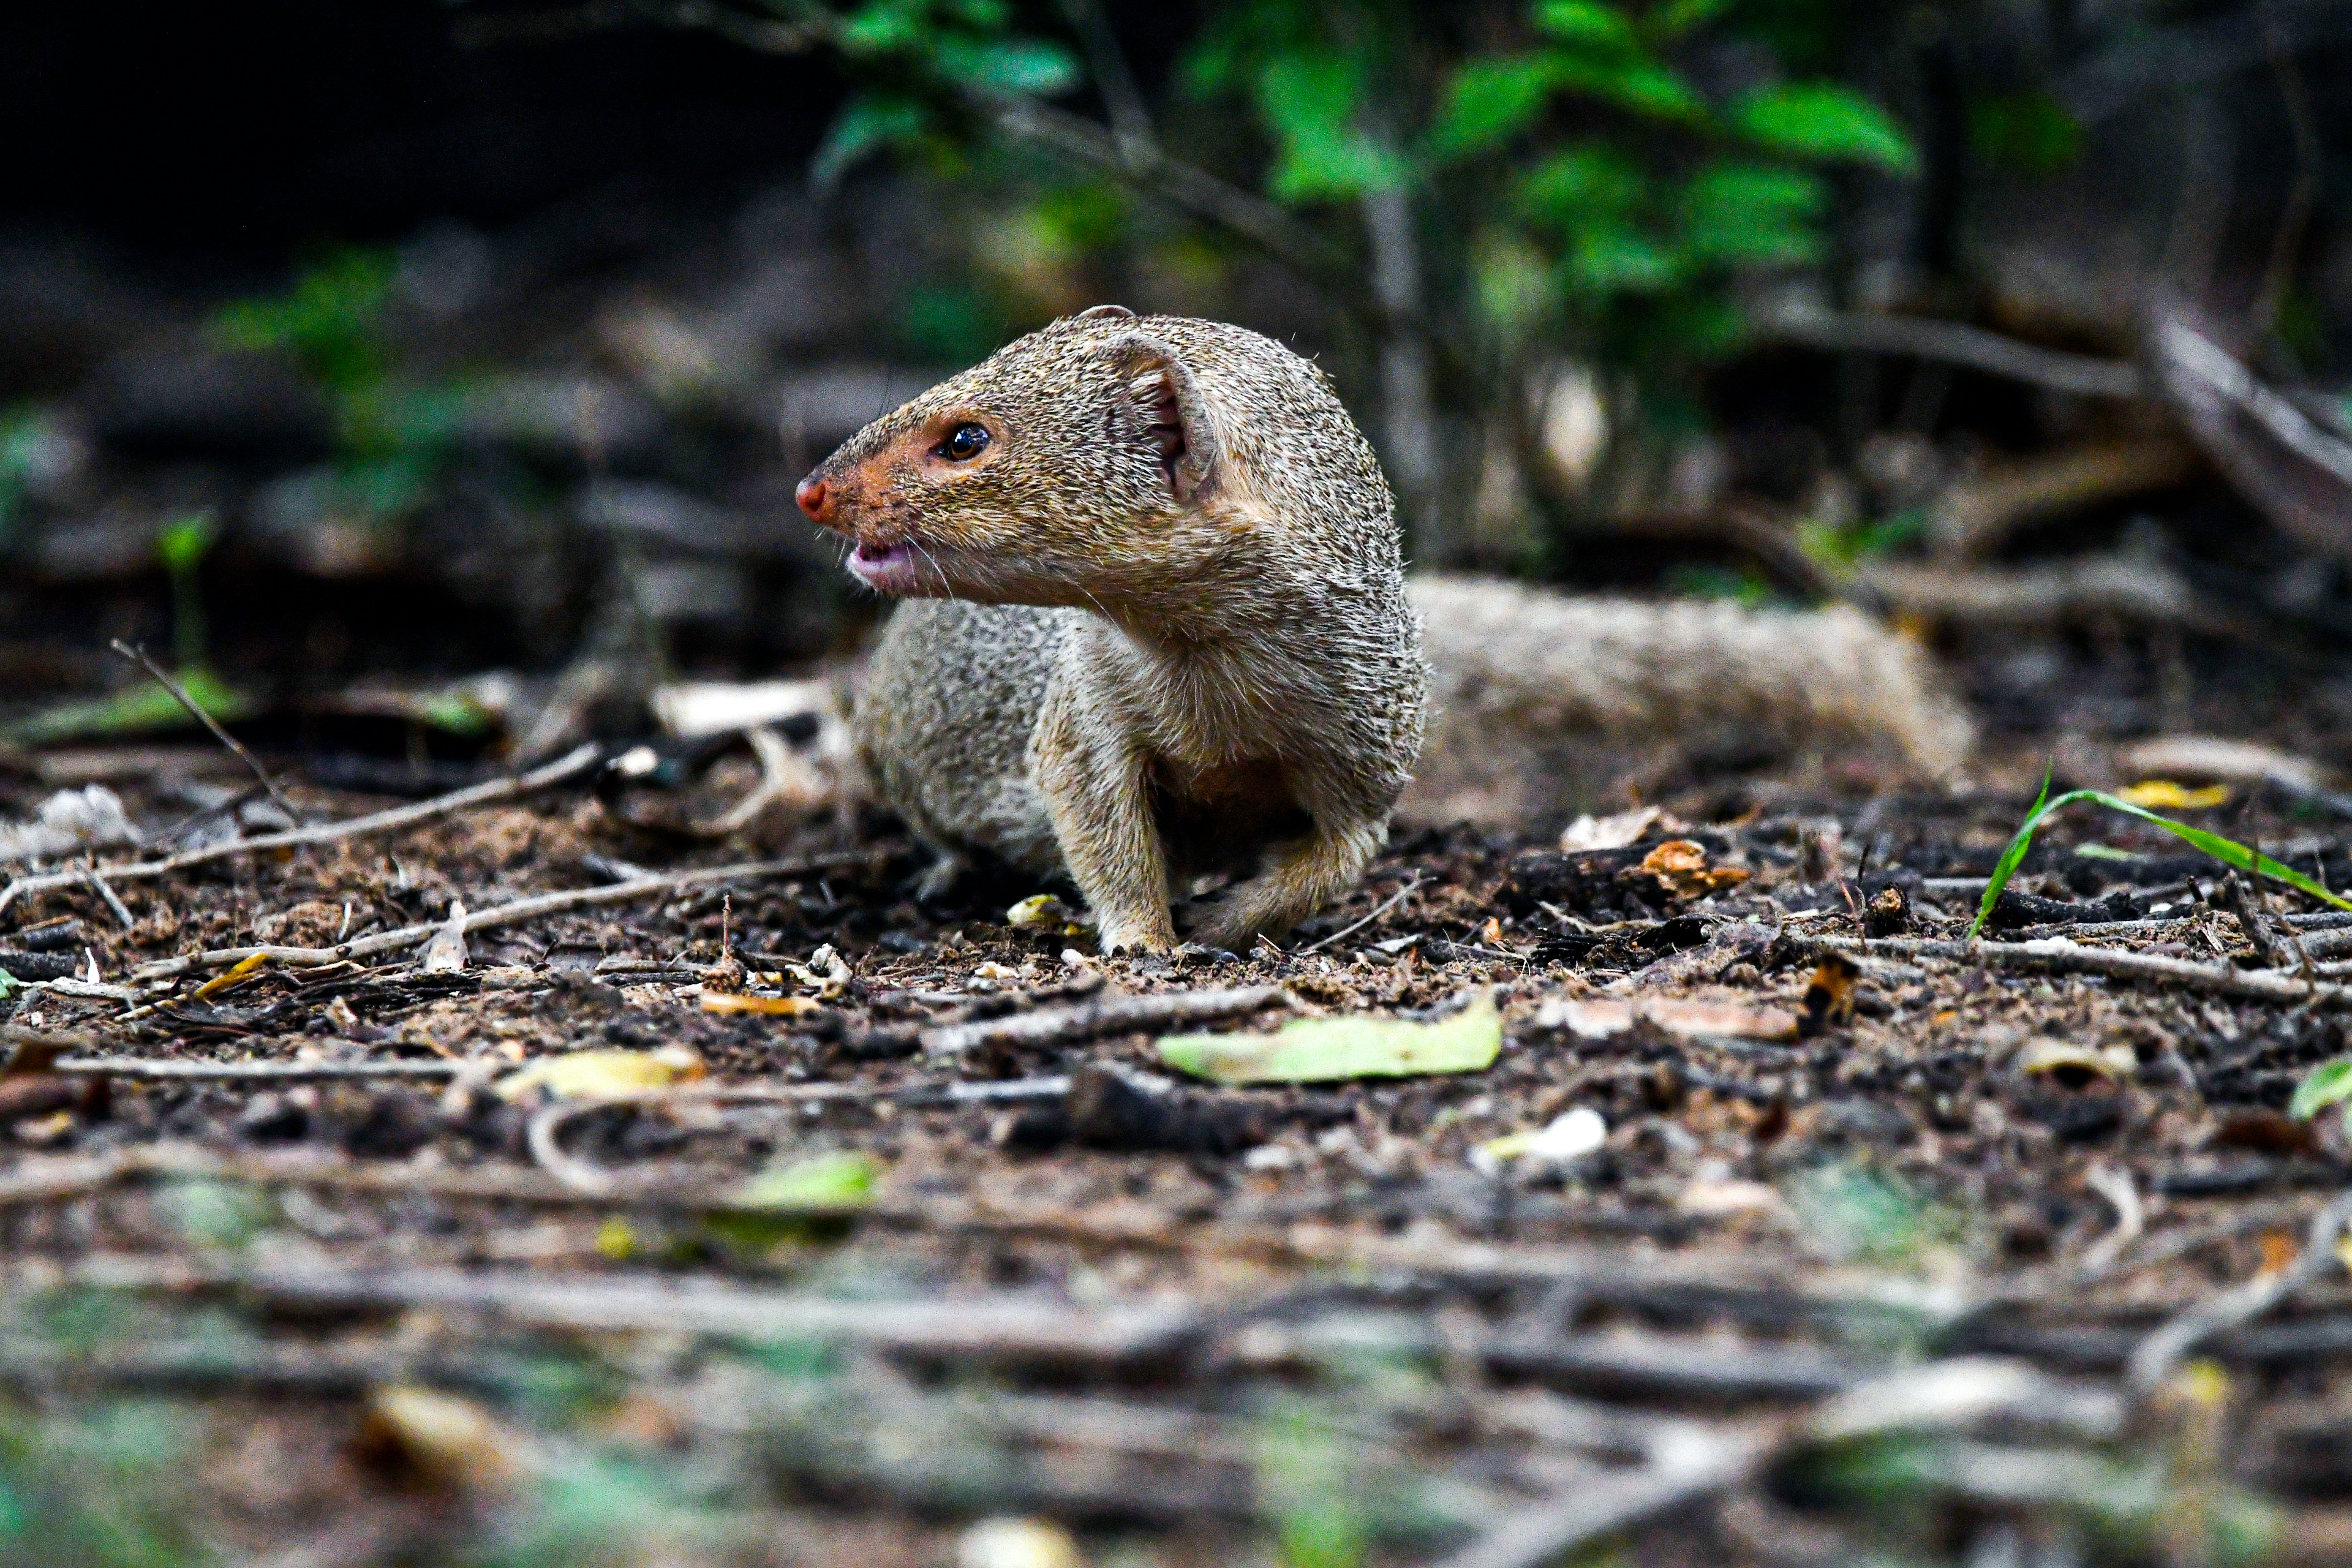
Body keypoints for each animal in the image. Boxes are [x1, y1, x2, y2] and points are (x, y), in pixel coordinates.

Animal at [796, 308, 1972, 953]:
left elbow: (1334, 865)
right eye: (960, 389)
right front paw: (1146, 936)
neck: (1216, 694)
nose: (811, 489)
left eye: (965, 438)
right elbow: (1103, 830)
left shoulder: (1369, 752)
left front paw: (1218, 920)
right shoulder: (1081, 714)